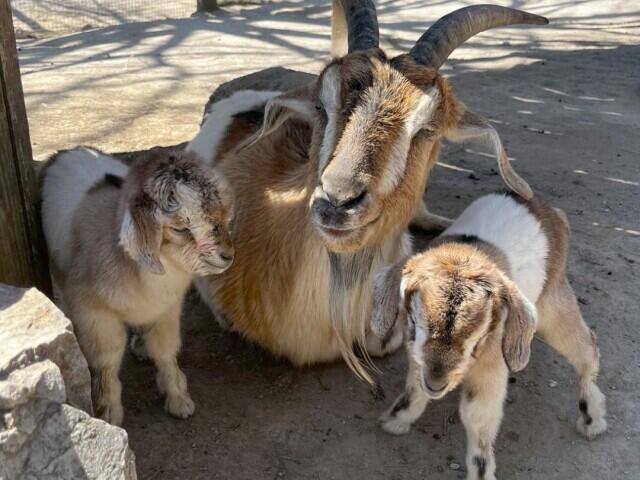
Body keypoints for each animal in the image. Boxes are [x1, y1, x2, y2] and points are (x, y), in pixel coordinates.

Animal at [40, 147, 234, 425]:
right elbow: (107, 360)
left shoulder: (166, 309)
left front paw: (178, 398)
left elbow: (166, 351)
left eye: (222, 213)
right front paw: (108, 413)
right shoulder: (95, 314)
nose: (227, 256)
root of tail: (65, 151)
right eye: (179, 227)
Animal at [372, 192, 607, 480]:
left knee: (587, 347)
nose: (437, 383)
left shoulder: (491, 365)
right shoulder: (417, 357)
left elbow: (477, 417)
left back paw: (592, 419)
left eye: (478, 332)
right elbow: (414, 387)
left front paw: (481, 473)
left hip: (552, 304)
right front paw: (395, 421)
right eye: (416, 322)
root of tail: (549, 210)